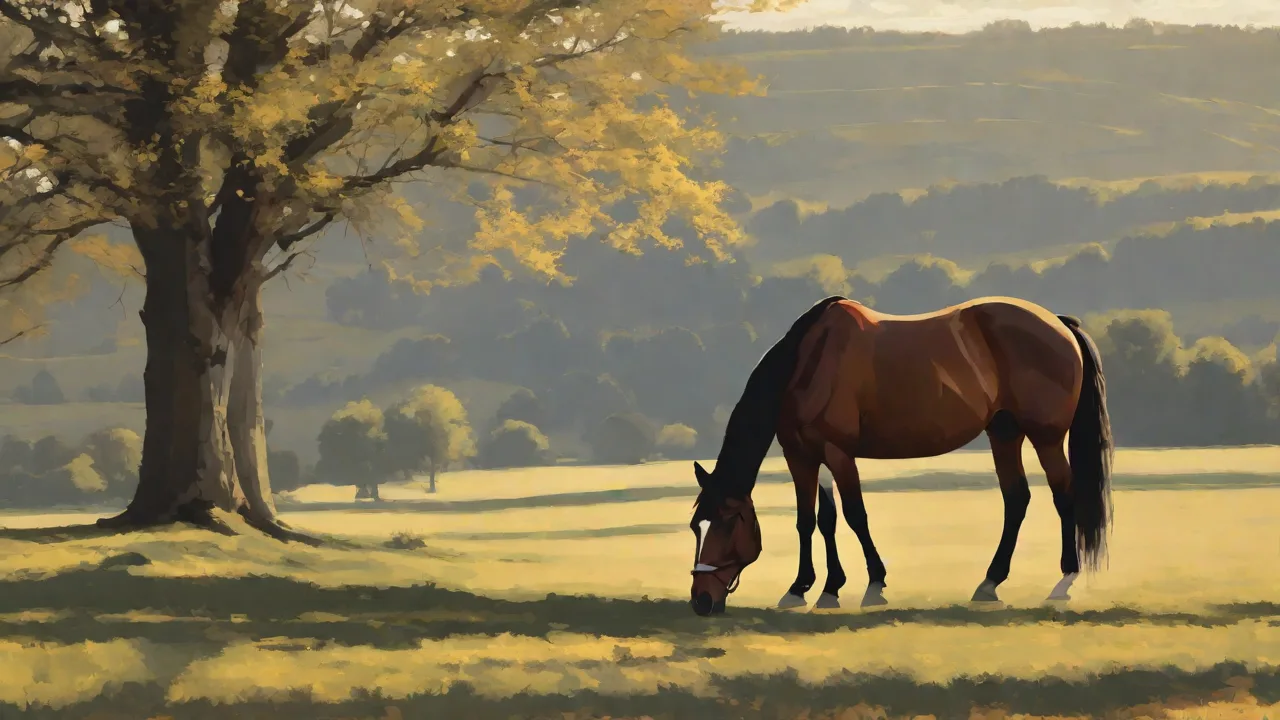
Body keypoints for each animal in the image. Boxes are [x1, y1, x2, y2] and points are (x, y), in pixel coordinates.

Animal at [689, 295, 1113, 616]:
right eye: (697, 527)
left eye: (727, 524)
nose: (701, 601)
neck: (808, 363)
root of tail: (1058, 323)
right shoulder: (802, 455)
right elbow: (814, 521)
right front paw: (810, 589)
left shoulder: (838, 453)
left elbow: (854, 516)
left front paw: (872, 585)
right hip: (1004, 433)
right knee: (1017, 499)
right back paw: (989, 582)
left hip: (1046, 438)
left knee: (1063, 496)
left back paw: (1063, 581)